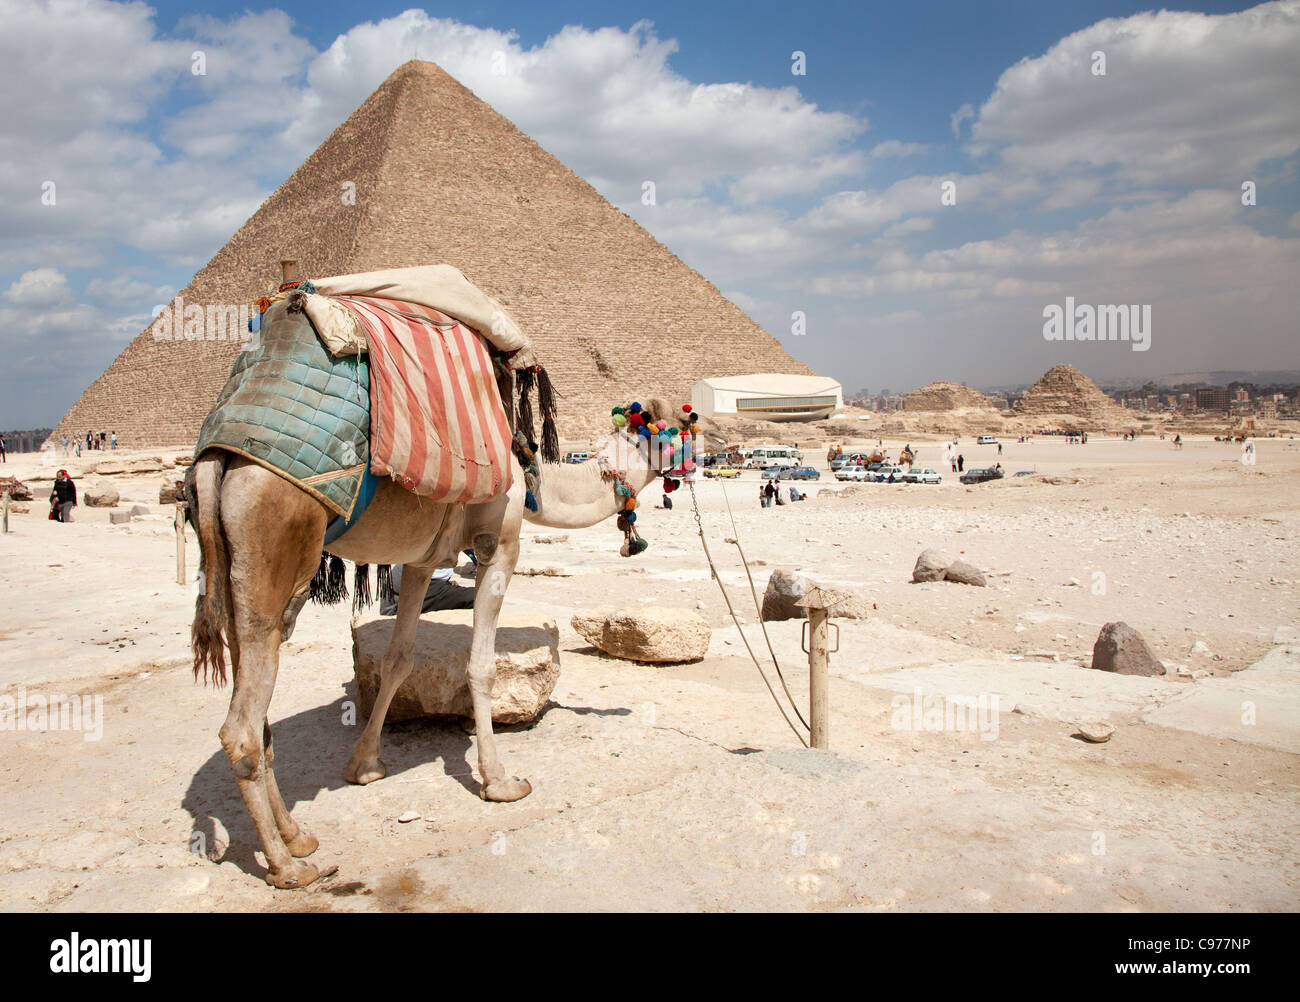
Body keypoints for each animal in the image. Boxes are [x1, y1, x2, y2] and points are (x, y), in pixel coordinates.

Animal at [190, 414, 664, 889]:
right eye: (672, 430)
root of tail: (215, 461)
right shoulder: (499, 544)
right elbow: (480, 666)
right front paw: (500, 782)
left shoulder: (421, 559)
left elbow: (398, 660)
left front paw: (364, 765)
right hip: (273, 552)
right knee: (240, 730)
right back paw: (287, 867)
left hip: (236, 583)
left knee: (259, 717)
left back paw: (298, 837)